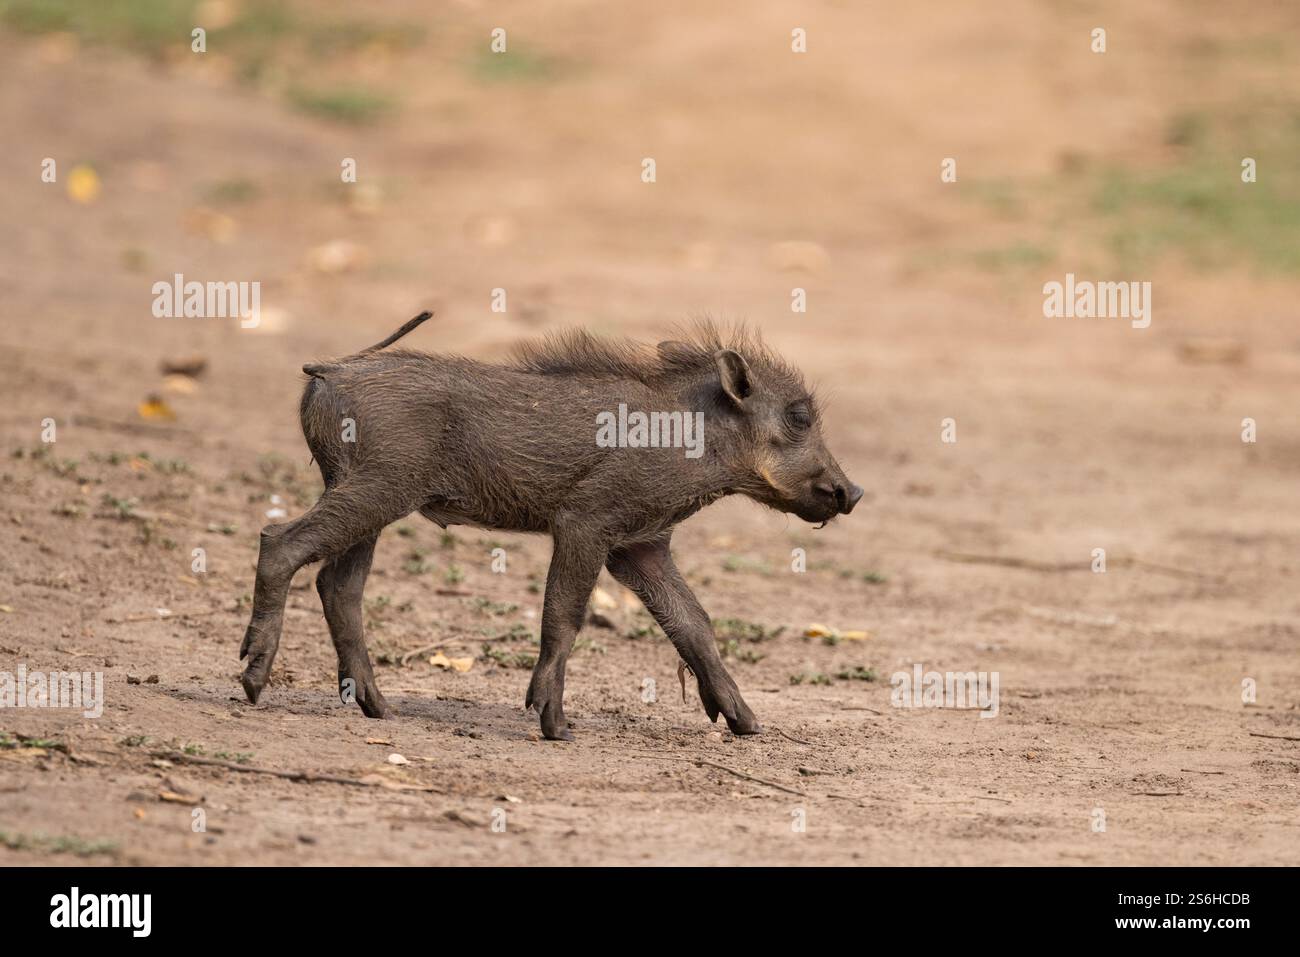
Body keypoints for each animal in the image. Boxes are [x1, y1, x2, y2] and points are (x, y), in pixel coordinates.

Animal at [240, 312, 862, 740]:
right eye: (799, 416)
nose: (852, 493)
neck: (692, 434)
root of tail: (333, 368)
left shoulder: (640, 546)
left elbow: (694, 625)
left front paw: (746, 723)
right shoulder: (586, 523)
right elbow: (564, 617)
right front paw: (555, 724)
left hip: (367, 494)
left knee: (339, 586)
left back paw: (377, 706)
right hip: (377, 488)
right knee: (281, 545)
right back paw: (253, 680)